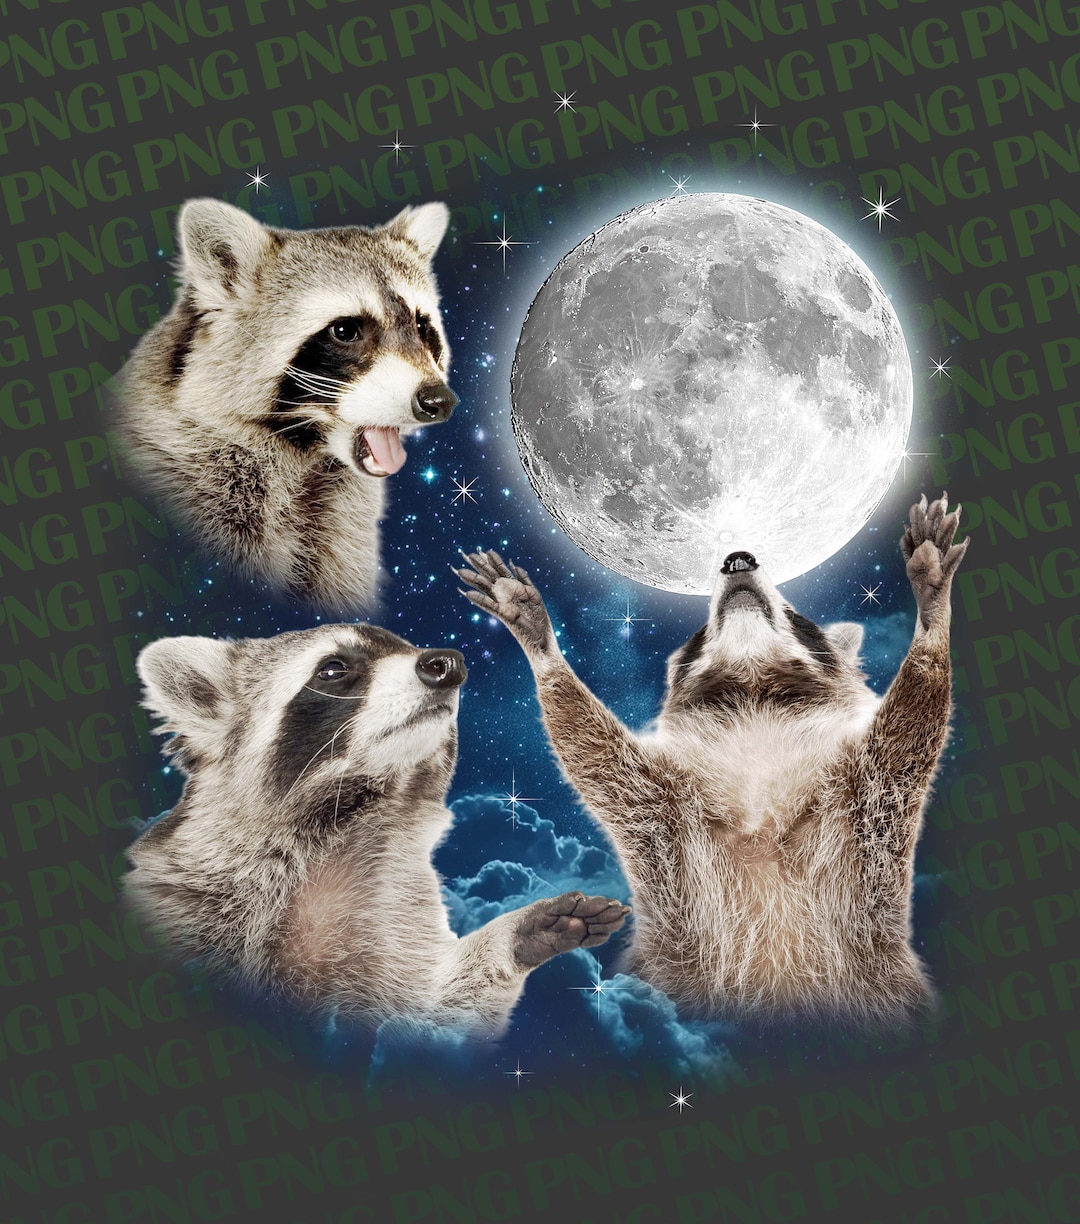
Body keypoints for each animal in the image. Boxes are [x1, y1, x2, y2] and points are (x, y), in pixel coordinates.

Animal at [126, 623, 630, 1035]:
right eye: (333, 668)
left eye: (409, 647)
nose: (448, 664)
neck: (350, 817)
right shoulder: (192, 901)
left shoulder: (388, 916)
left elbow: (432, 1009)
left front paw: (513, 936)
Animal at [456, 494, 969, 1029]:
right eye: (704, 626)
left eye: (793, 612)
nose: (737, 559)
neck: (754, 704)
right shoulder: (662, 806)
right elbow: (597, 755)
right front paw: (541, 643)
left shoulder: (865, 790)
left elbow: (907, 735)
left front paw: (931, 609)